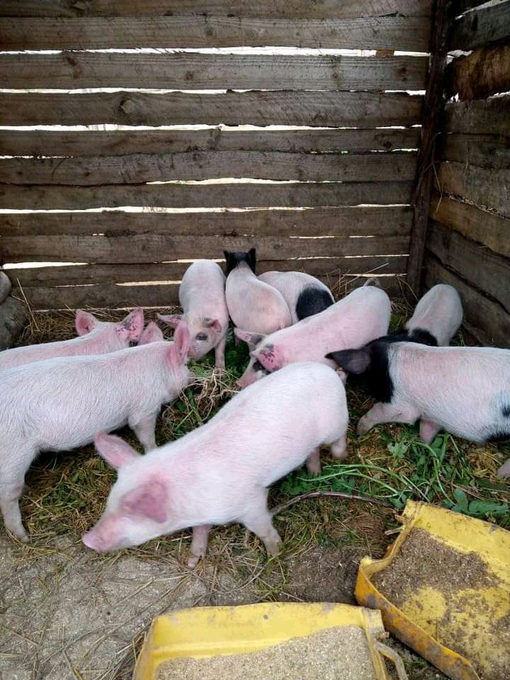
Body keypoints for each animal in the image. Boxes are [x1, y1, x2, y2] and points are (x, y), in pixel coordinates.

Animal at [0, 321, 191, 542]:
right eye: (186, 363)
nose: (192, 376)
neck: (158, 370)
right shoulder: (144, 410)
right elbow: (146, 437)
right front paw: (153, 451)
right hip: (14, 452)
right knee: (7, 495)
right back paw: (24, 536)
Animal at [82, 361, 349, 566]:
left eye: (131, 512)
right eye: (109, 504)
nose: (87, 539)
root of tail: (327, 371)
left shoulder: (250, 502)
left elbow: (263, 527)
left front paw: (275, 554)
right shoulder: (205, 514)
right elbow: (201, 532)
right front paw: (193, 560)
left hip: (336, 421)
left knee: (339, 438)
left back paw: (338, 456)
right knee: (313, 451)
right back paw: (314, 473)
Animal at [327, 341, 510, 447]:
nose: (341, 370)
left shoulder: (401, 406)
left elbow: (379, 412)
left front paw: (359, 430)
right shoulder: (432, 416)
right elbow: (426, 431)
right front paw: (424, 445)